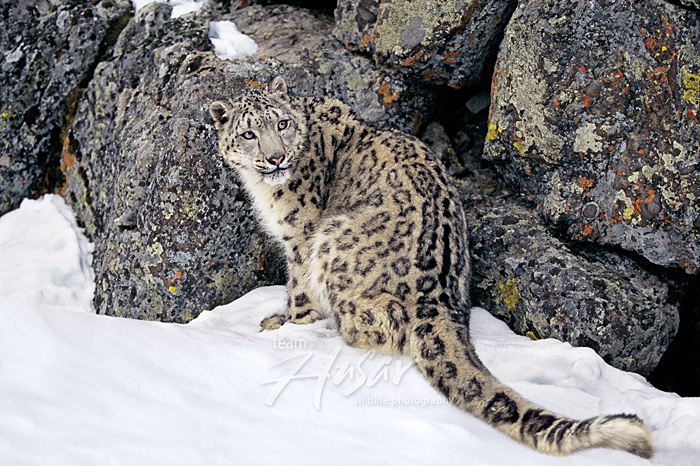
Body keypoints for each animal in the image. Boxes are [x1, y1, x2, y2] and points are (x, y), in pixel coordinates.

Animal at [209, 76, 654, 458]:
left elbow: (299, 293)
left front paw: (285, 327)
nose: (275, 157)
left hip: (332, 241)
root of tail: (437, 294)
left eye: (282, 123)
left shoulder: (300, 237)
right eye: (248, 134)